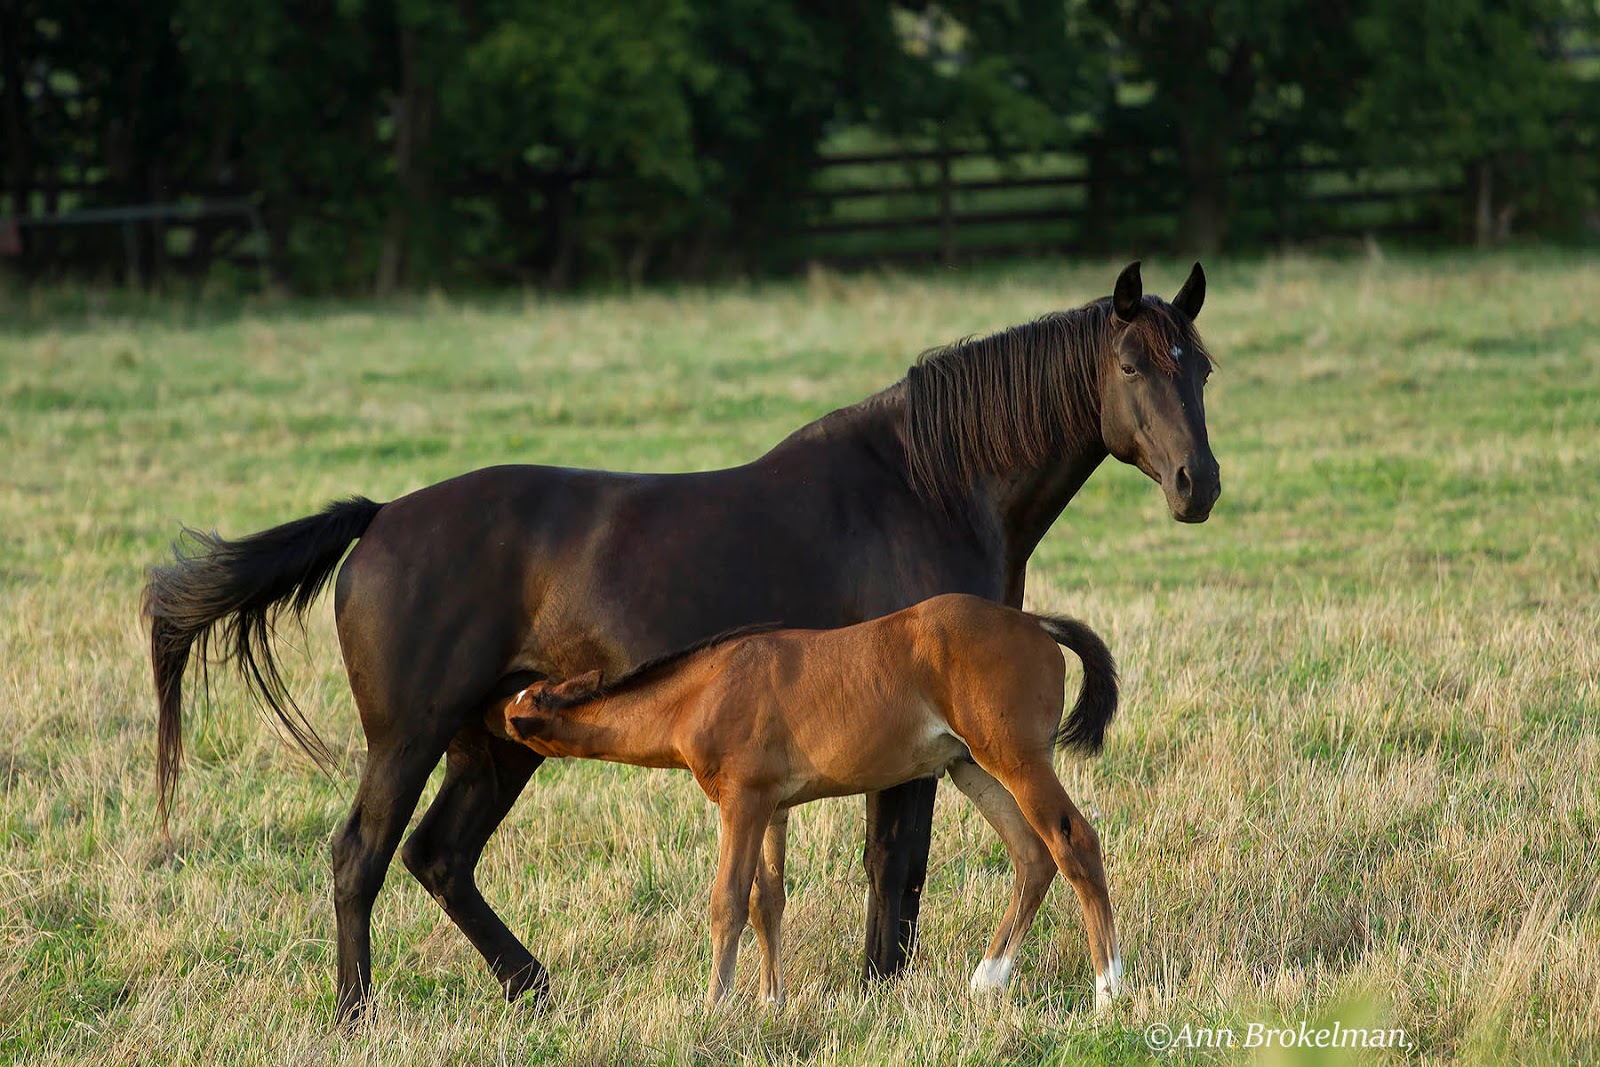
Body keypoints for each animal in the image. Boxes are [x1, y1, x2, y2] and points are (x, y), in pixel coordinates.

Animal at [493, 593, 1121, 1008]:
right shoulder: (773, 807)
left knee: (1074, 843)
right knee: (1032, 856)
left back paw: (1108, 990)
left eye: (519, 712)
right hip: (972, 768)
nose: (485, 724)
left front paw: (715, 1007)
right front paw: (771, 1003)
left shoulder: (742, 802)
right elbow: (766, 900)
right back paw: (989, 978)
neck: (705, 688)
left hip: (1016, 761)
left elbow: (727, 901)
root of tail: (1034, 622)